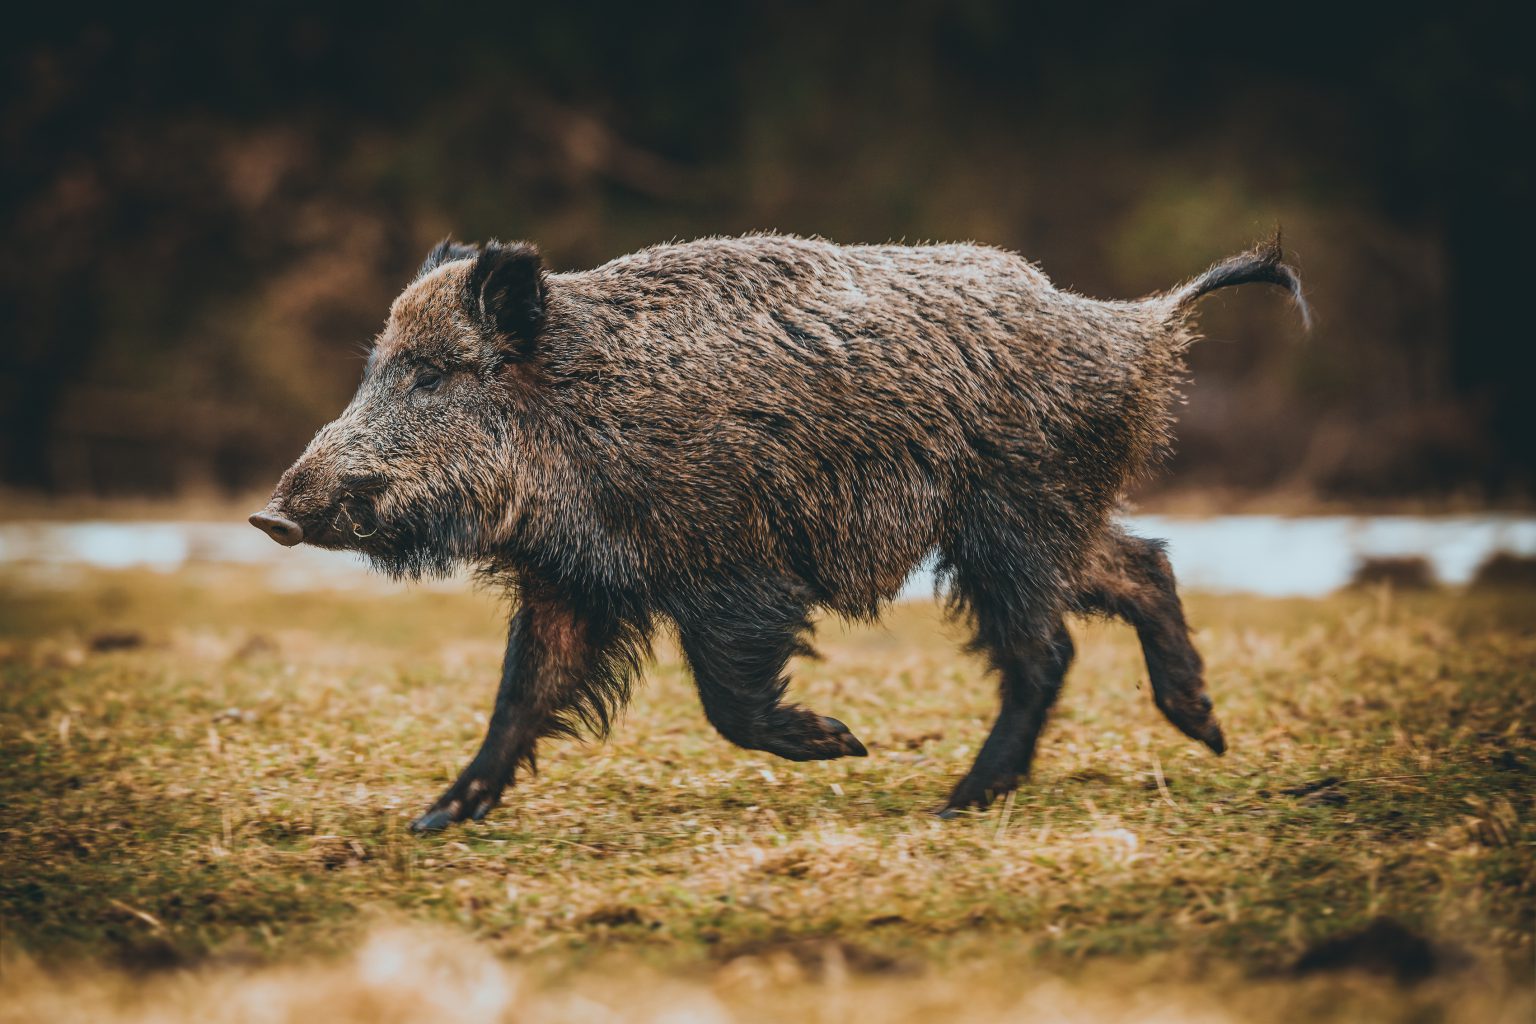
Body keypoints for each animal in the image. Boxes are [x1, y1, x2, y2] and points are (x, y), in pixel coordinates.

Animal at [250, 232, 1307, 830]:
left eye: (433, 375)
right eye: (376, 367)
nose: (270, 514)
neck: (581, 421)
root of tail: (1140, 330)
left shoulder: (735, 567)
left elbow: (728, 701)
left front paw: (843, 744)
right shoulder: (573, 581)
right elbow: (522, 693)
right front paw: (438, 818)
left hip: (1009, 523)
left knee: (1046, 650)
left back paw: (958, 802)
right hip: (1048, 523)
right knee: (1143, 565)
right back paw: (1204, 729)